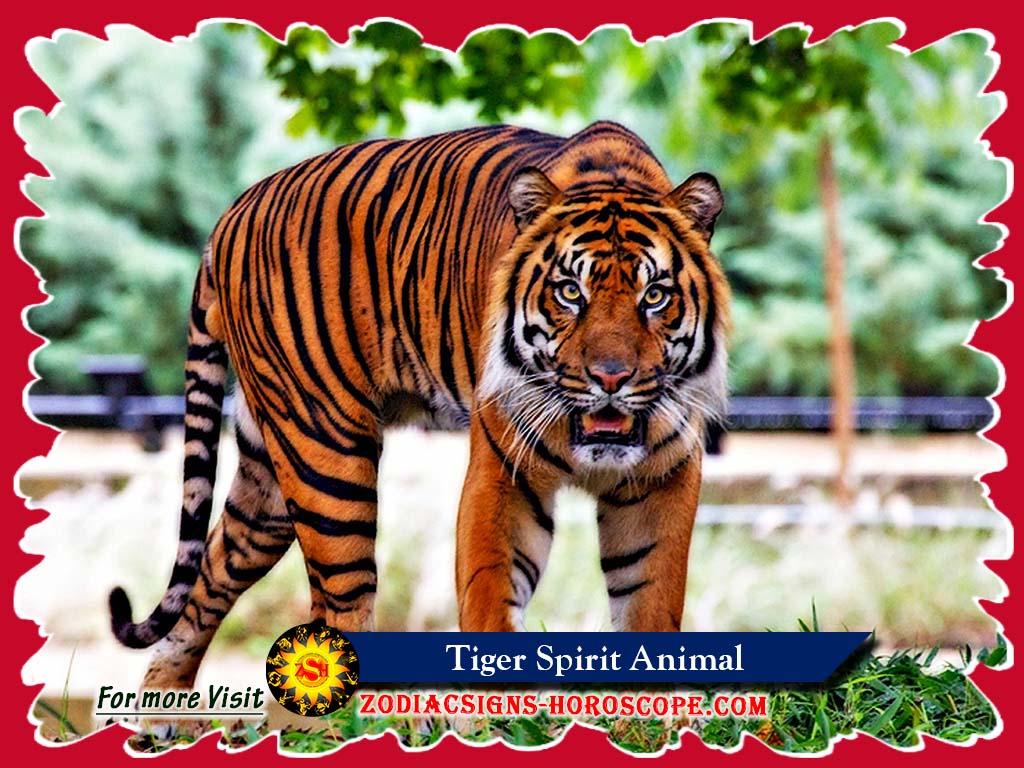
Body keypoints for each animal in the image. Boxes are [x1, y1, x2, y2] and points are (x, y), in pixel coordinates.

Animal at [108, 121, 730, 693]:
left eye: (655, 296)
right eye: (570, 292)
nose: (610, 378)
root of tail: (231, 213)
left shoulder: (664, 477)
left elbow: (651, 600)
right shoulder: (503, 471)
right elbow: (491, 596)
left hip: (269, 478)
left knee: (212, 573)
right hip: (325, 455)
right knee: (337, 605)